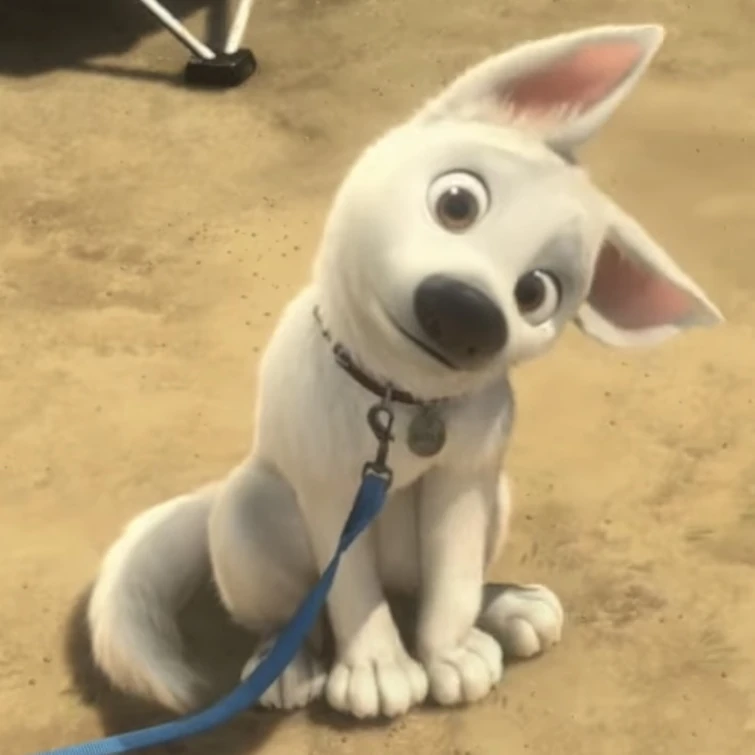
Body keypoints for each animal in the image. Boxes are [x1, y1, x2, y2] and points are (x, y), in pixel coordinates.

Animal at [87, 24, 722, 721]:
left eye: (536, 294)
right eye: (456, 203)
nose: (469, 313)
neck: (396, 394)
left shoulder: (463, 481)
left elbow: (453, 582)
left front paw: (450, 654)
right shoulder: (331, 492)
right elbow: (350, 591)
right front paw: (376, 668)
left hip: (495, 500)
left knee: (437, 583)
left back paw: (506, 606)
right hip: (247, 517)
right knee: (294, 613)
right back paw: (286, 662)